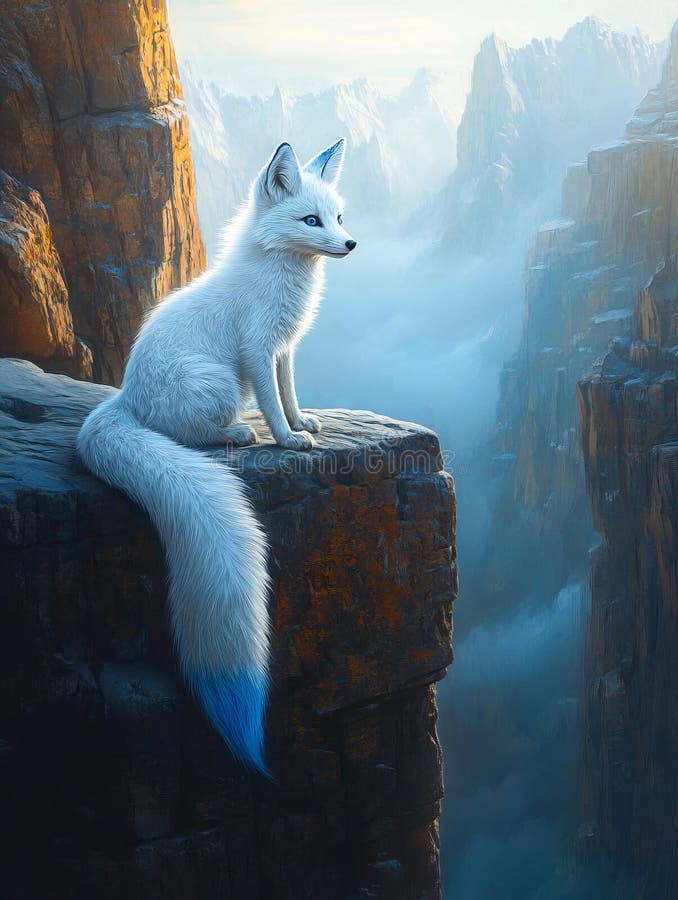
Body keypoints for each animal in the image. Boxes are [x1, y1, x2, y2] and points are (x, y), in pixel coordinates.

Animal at [77, 139, 356, 776]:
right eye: (311, 221)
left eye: (338, 217)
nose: (350, 244)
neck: (282, 279)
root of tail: (125, 398)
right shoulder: (257, 350)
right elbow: (273, 405)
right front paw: (287, 440)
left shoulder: (284, 351)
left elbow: (291, 394)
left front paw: (306, 425)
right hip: (221, 385)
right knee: (188, 436)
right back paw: (234, 435)